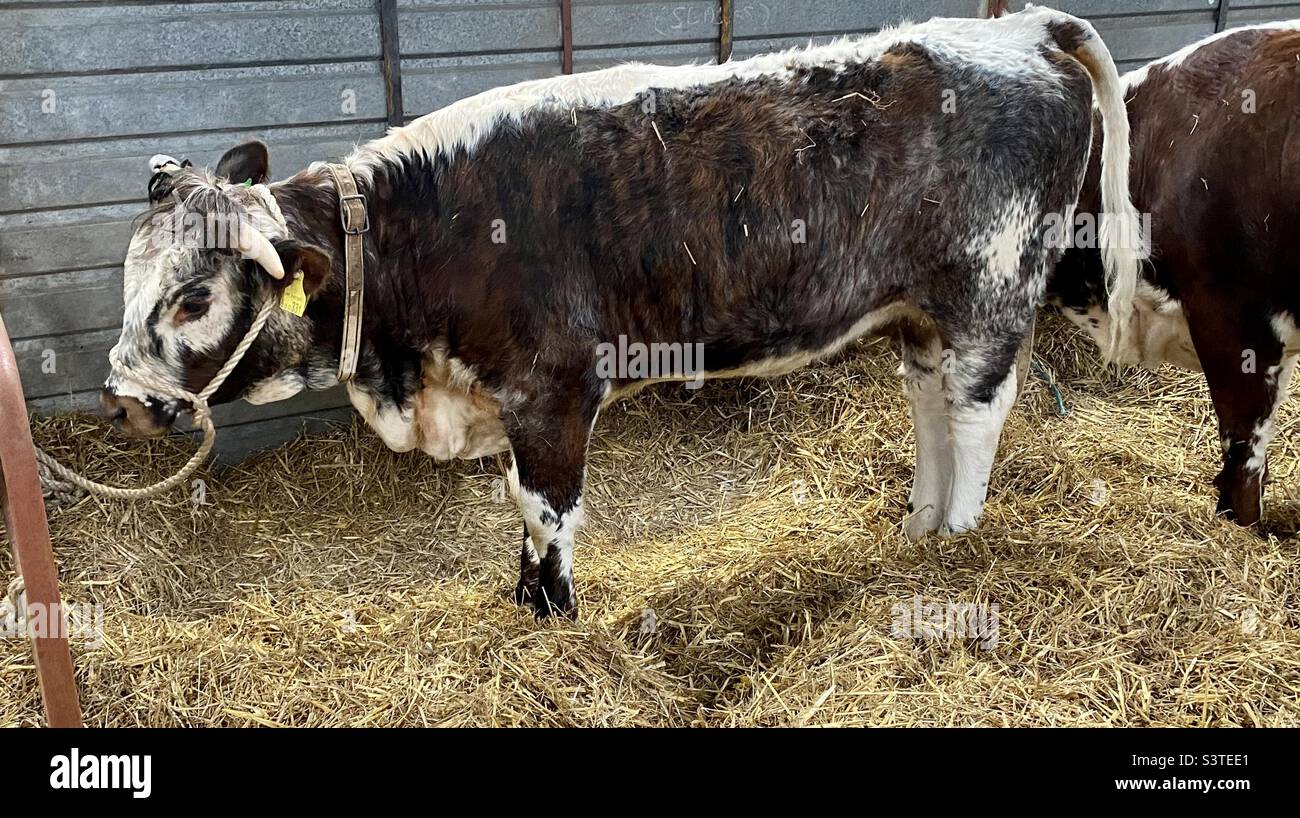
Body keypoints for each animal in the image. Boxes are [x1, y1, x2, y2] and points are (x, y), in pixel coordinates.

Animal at [100, 6, 1141, 619]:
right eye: (128, 276)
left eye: (195, 297)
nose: (119, 401)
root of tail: (1022, 28)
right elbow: (520, 509)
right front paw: (526, 600)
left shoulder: (553, 390)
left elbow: (544, 507)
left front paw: (553, 612)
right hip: (920, 312)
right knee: (928, 406)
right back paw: (917, 531)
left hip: (989, 297)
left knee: (974, 415)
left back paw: (955, 547)